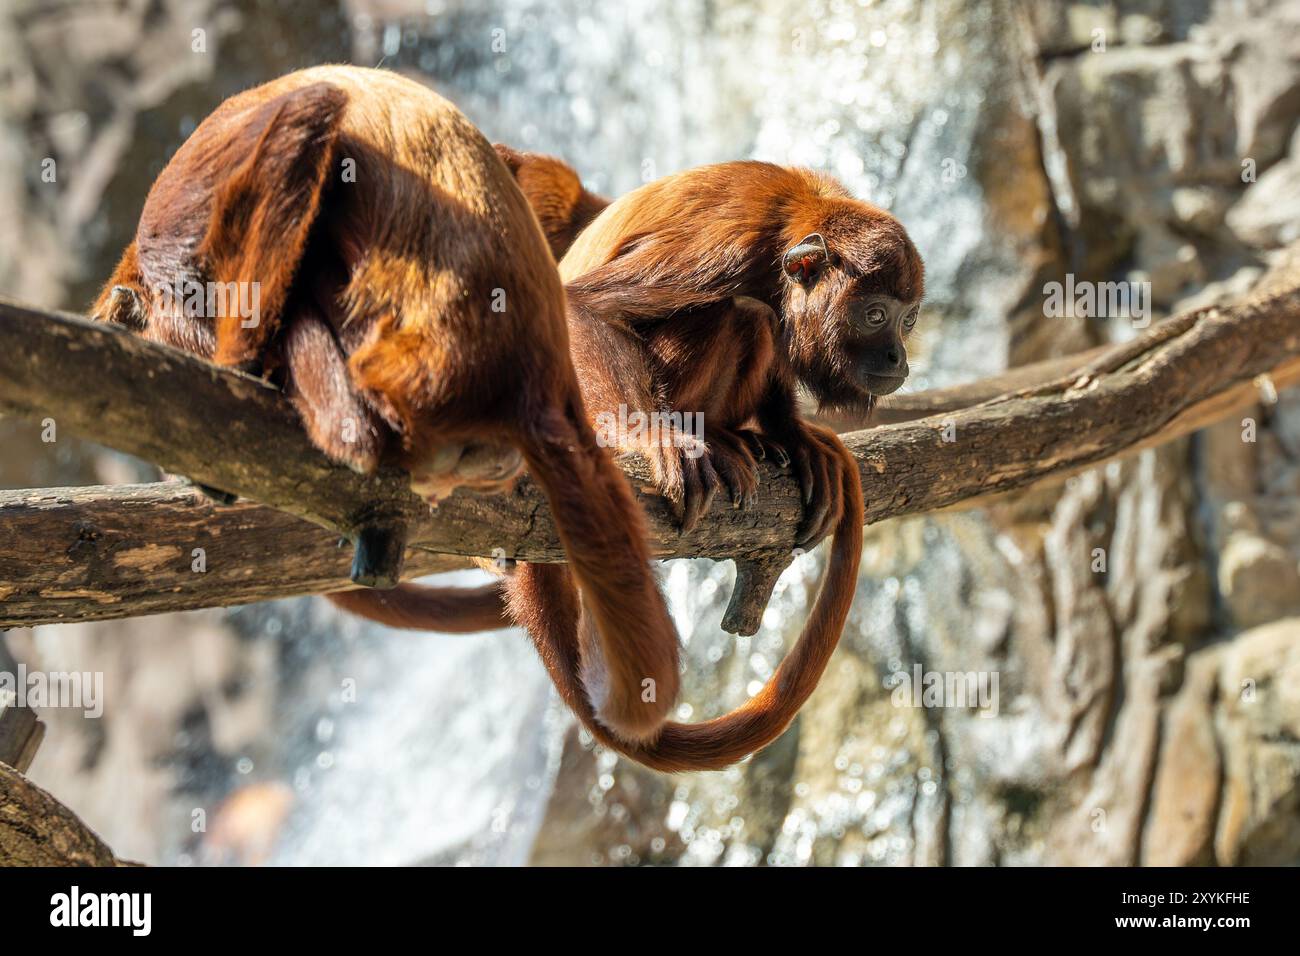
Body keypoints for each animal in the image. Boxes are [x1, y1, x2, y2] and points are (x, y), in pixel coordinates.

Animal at [91, 65, 684, 745]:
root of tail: (534, 386)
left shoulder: (178, 208)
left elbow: (309, 114)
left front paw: (238, 361)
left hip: (402, 371)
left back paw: (340, 424)